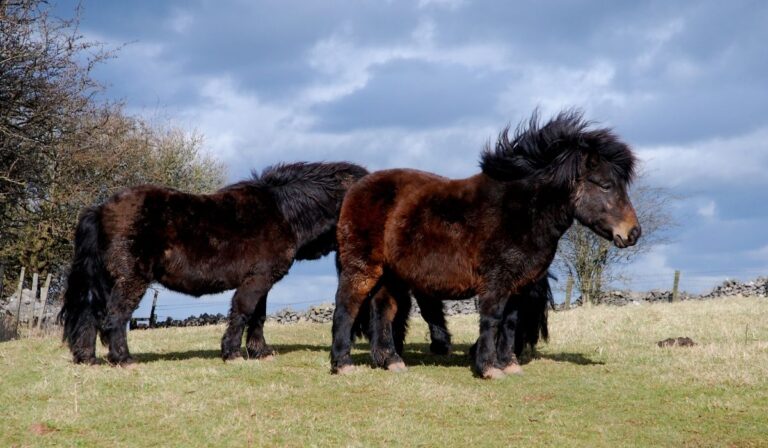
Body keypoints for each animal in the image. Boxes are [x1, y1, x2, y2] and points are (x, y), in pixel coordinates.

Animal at [59, 162, 368, 365]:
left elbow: (258, 317)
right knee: (116, 316)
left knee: (90, 315)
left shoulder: (261, 280)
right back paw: (123, 359)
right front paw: (232, 352)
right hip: (131, 280)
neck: (283, 212)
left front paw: (259, 351)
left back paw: (87, 358)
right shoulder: (257, 280)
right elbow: (243, 312)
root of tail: (100, 209)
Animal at [331, 110, 640, 379]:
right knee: (347, 306)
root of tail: (356, 189)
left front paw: (509, 364)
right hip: (363, 268)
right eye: (604, 185)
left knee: (383, 311)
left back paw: (391, 360)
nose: (633, 233)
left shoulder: (519, 285)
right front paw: (488, 368)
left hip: (391, 276)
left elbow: (510, 323)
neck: (520, 211)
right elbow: (491, 319)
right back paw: (342, 363)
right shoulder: (496, 282)